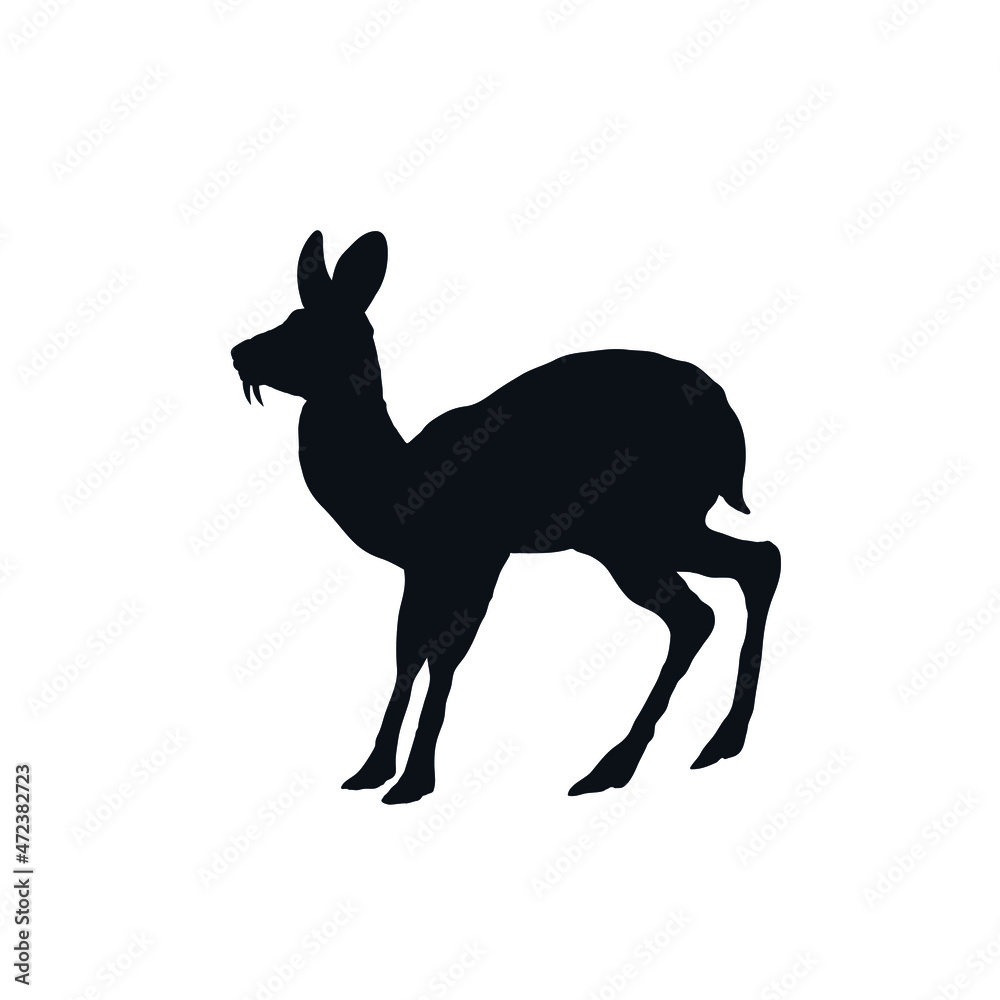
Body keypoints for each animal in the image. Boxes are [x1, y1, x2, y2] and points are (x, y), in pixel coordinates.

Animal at [231, 231, 781, 804]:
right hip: (653, 531)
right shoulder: (421, 569)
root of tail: (731, 431)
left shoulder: (478, 554)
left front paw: (414, 780)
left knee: (706, 605)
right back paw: (715, 743)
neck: (395, 483)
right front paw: (371, 770)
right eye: (290, 318)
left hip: (636, 531)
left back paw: (615, 765)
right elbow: (407, 650)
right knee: (752, 567)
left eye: (309, 329)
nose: (238, 353)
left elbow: (445, 654)